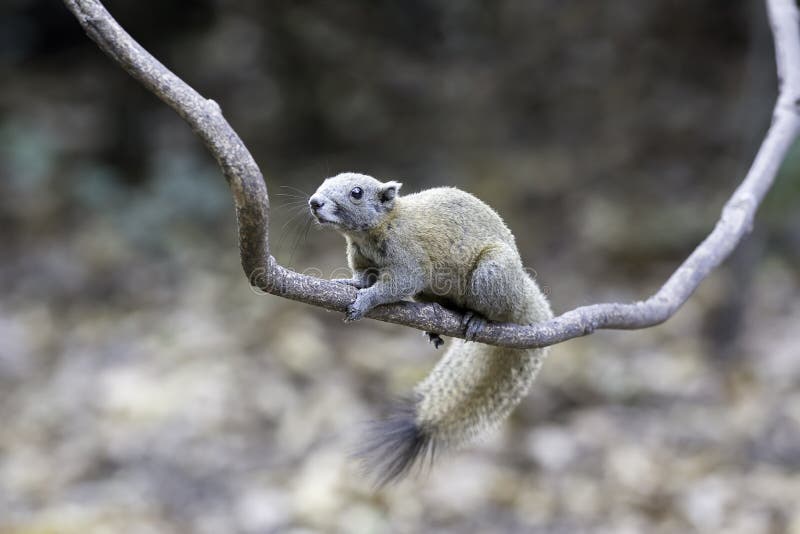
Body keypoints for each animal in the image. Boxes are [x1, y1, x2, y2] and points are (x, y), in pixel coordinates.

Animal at [308, 172, 553, 485]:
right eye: (326, 180)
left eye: (356, 192)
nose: (315, 202)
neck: (376, 229)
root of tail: (522, 296)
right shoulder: (363, 261)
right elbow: (363, 278)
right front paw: (350, 284)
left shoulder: (408, 258)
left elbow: (396, 284)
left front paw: (365, 301)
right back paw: (436, 326)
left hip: (492, 274)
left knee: (494, 311)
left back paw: (478, 318)